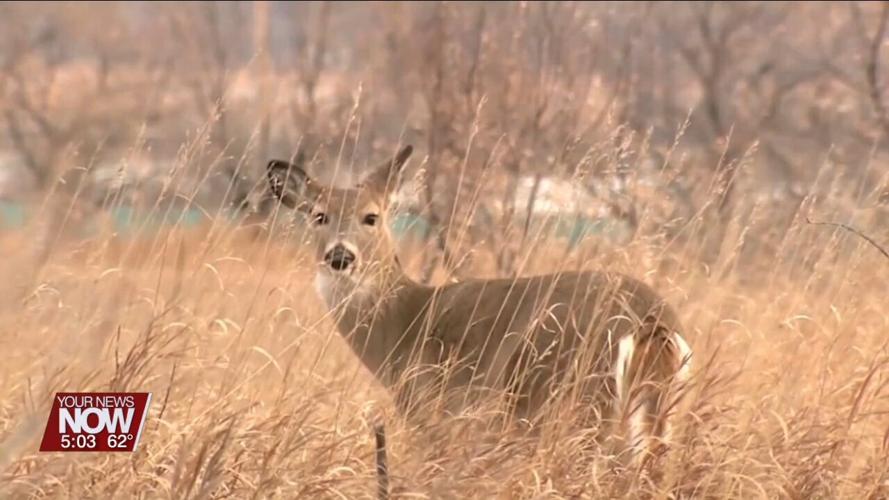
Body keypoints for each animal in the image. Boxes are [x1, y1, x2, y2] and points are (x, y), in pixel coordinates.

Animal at [265, 144, 693, 462]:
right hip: (660, 409)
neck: (403, 324)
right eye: (319, 216)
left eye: (370, 217)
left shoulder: (435, 415)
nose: (340, 256)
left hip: (577, 400)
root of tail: (650, 319)